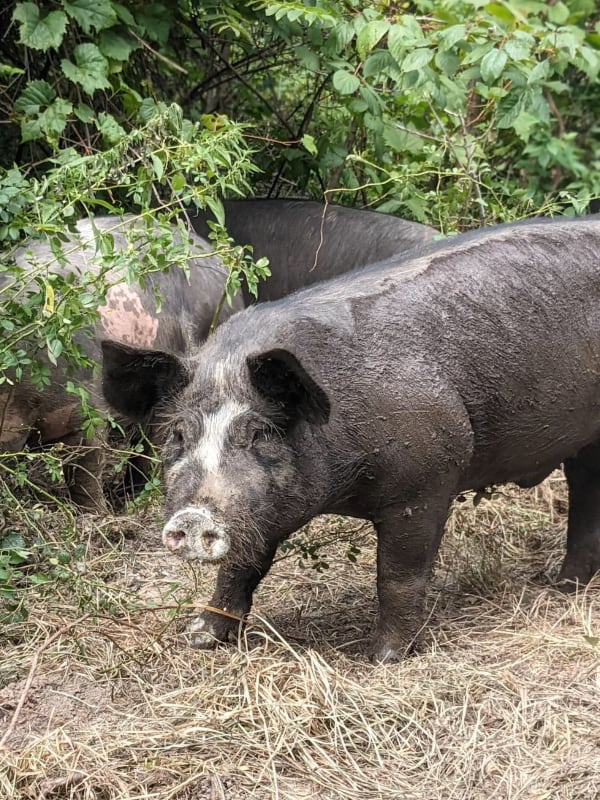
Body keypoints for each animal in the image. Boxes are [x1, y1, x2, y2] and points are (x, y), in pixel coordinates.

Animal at [101, 217, 600, 662]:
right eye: (179, 434)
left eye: (259, 433)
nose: (192, 516)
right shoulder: (261, 507)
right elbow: (242, 565)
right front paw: (200, 638)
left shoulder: (426, 480)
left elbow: (398, 575)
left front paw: (381, 658)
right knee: (585, 496)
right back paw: (562, 587)